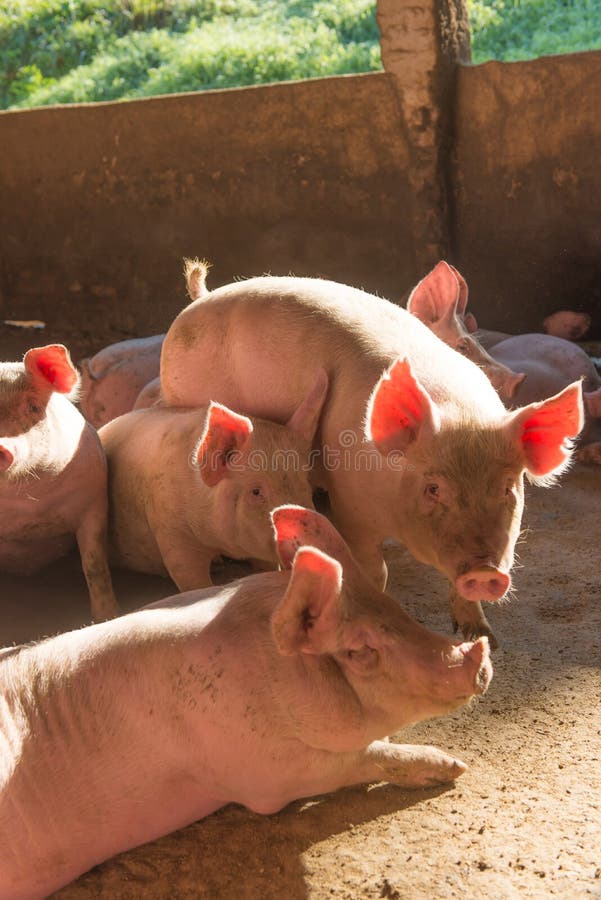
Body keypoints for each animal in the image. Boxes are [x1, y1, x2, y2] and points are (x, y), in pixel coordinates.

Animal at [0, 505, 492, 899]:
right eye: (359, 650)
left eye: (390, 604)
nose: (480, 656)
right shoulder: (263, 774)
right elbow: (363, 757)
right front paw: (452, 767)